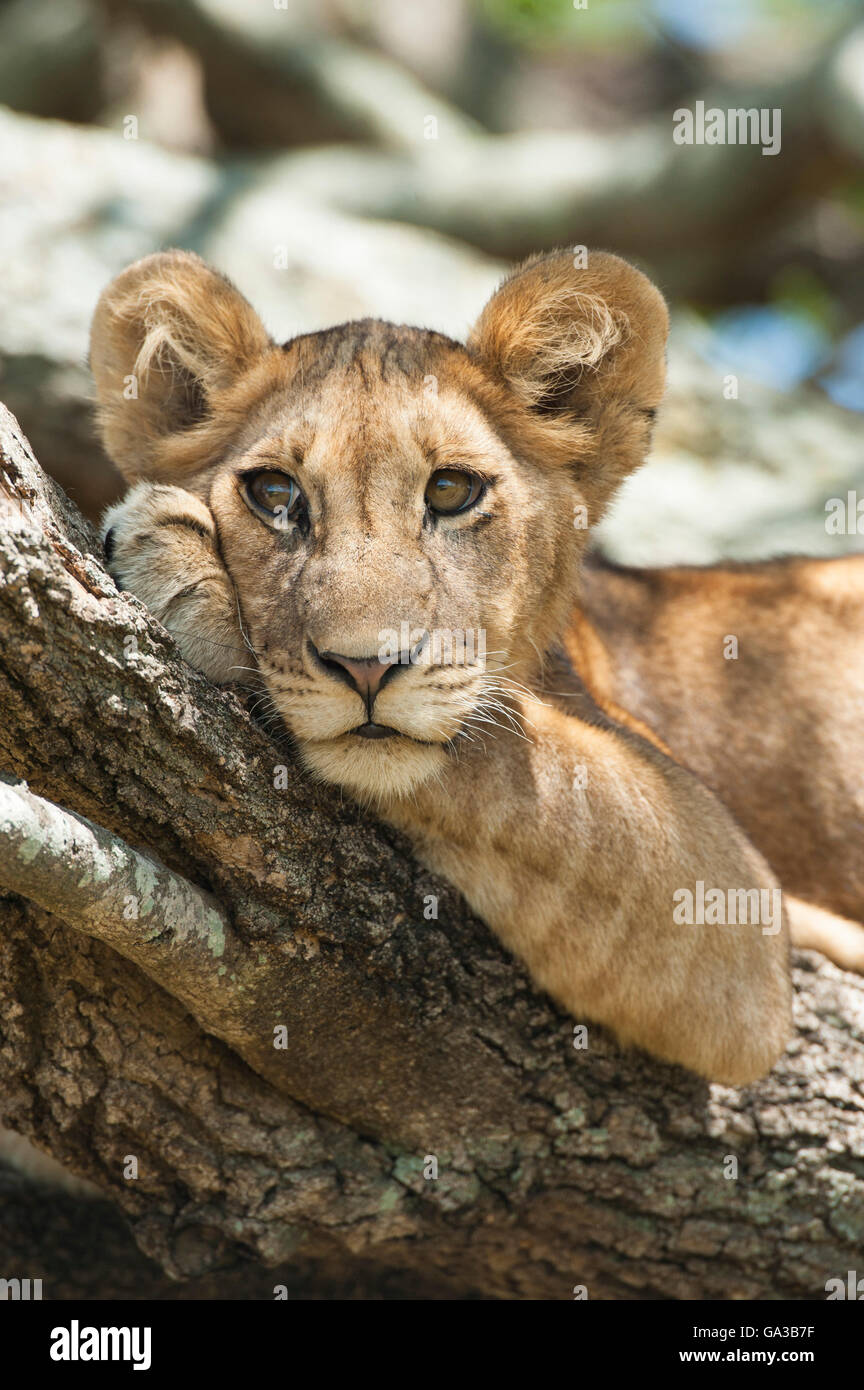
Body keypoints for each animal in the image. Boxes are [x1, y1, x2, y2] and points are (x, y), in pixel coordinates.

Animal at [89, 246, 855, 1089]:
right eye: (275, 493)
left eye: (452, 491)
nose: (365, 667)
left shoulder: (732, 901)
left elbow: (514, 759)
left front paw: (182, 571)